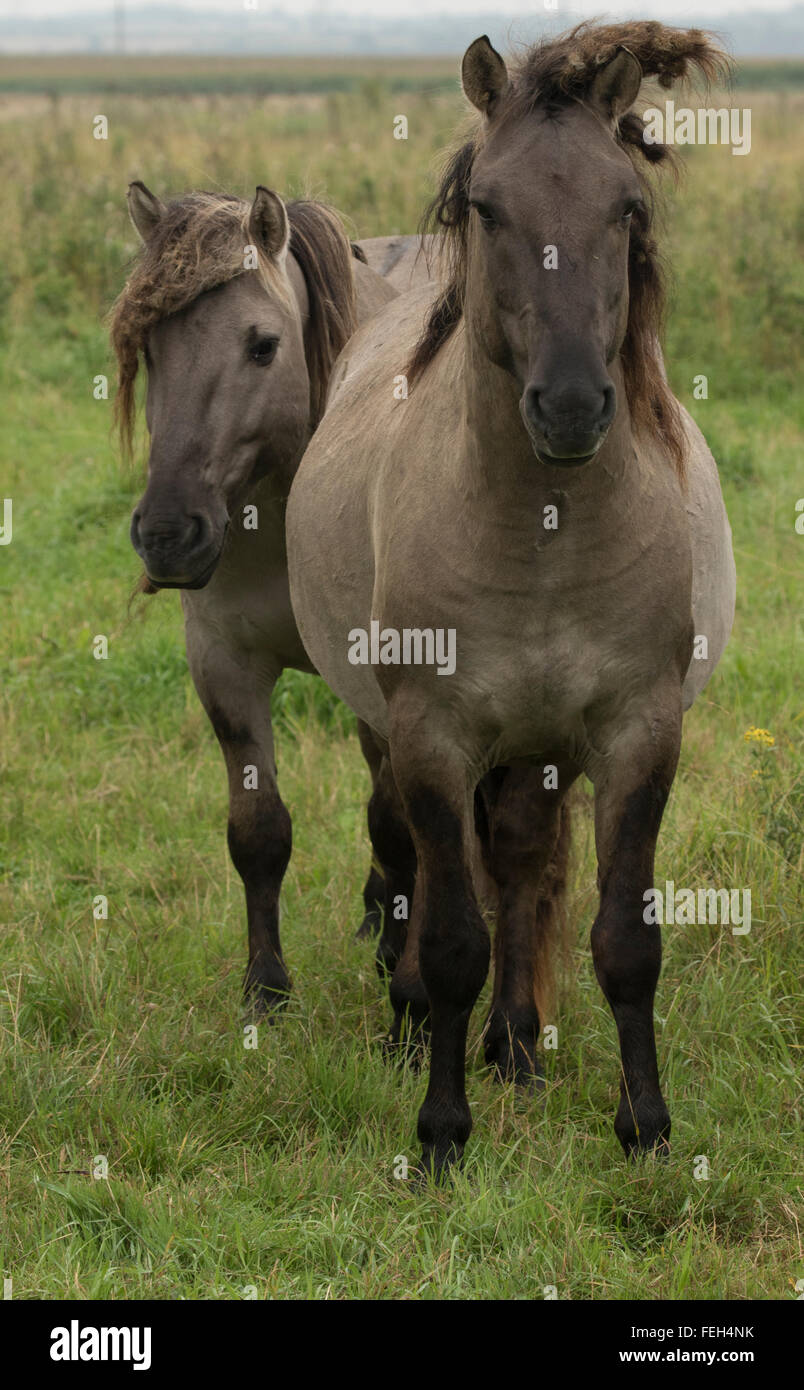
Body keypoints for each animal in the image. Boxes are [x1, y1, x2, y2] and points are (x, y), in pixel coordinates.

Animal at [110, 183, 431, 1014]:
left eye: (261, 345)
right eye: (148, 348)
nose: (169, 534)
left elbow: (396, 821)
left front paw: (400, 967)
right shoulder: (224, 666)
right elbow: (258, 832)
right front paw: (266, 988)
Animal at [287, 22, 736, 1176]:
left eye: (626, 206)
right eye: (488, 208)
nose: (572, 405)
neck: (542, 533)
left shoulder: (635, 732)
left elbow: (625, 938)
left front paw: (645, 1125)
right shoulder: (434, 734)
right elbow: (454, 935)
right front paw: (442, 1131)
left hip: (538, 750)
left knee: (524, 870)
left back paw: (519, 1048)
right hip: (391, 732)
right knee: (417, 863)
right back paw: (421, 1034)